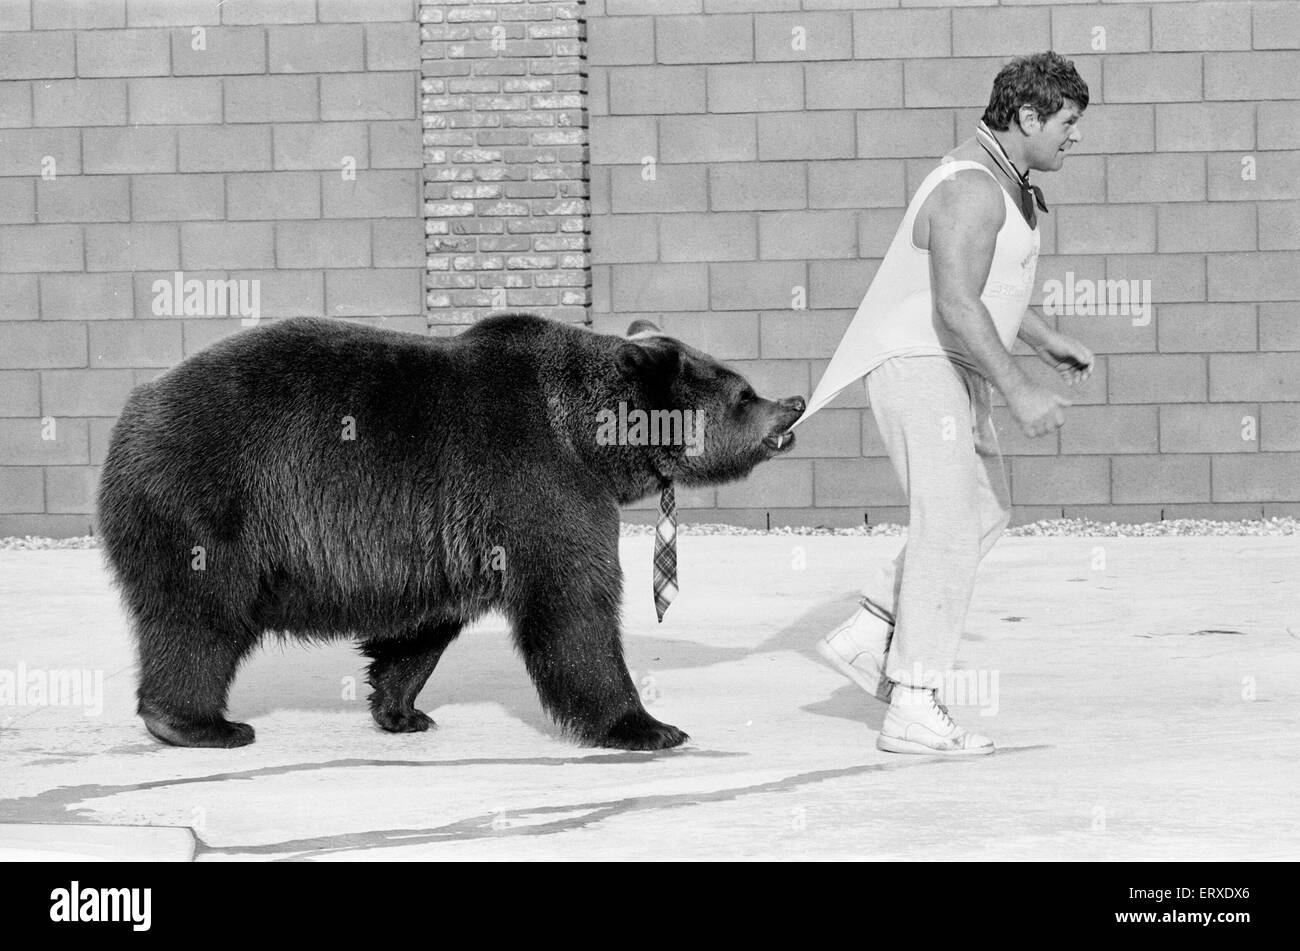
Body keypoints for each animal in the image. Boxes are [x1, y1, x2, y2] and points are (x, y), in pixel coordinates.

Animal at [97, 313, 804, 751]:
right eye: (744, 392)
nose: (793, 403)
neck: (591, 437)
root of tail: (136, 406)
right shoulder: (536, 479)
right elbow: (575, 604)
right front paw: (649, 727)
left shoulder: (447, 531)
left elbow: (424, 627)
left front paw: (402, 709)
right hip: (213, 501)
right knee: (200, 617)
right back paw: (199, 723)